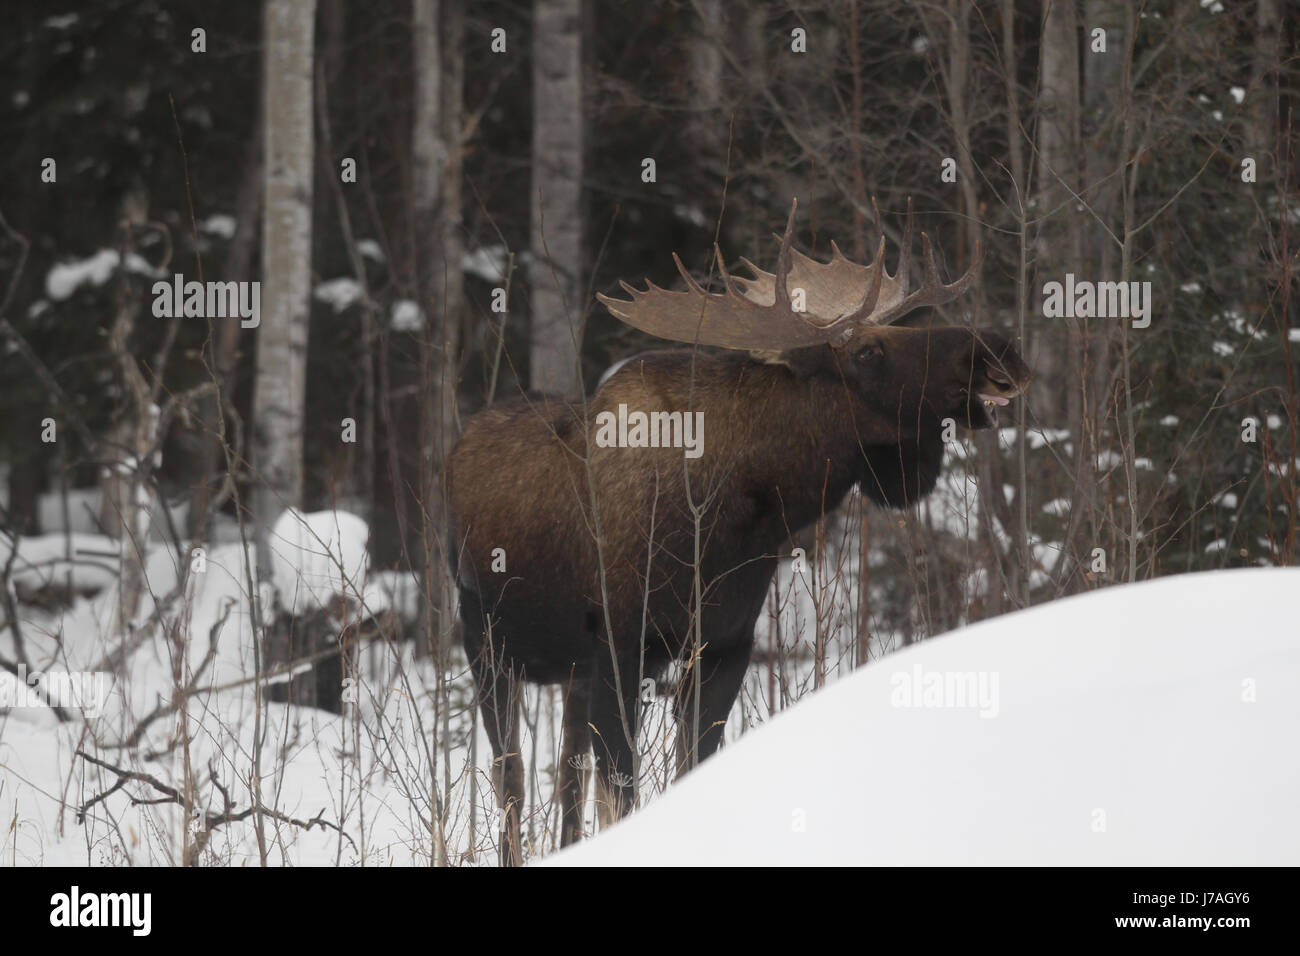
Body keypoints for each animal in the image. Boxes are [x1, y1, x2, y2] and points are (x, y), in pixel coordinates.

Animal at [446, 199, 1031, 864]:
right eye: (867, 352)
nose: (1000, 350)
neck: (743, 514)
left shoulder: (727, 644)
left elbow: (683, 771)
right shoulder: (620, 648)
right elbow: (620, 795)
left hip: (567, 671)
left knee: (566, 778)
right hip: (487, 644)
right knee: (513, 777)